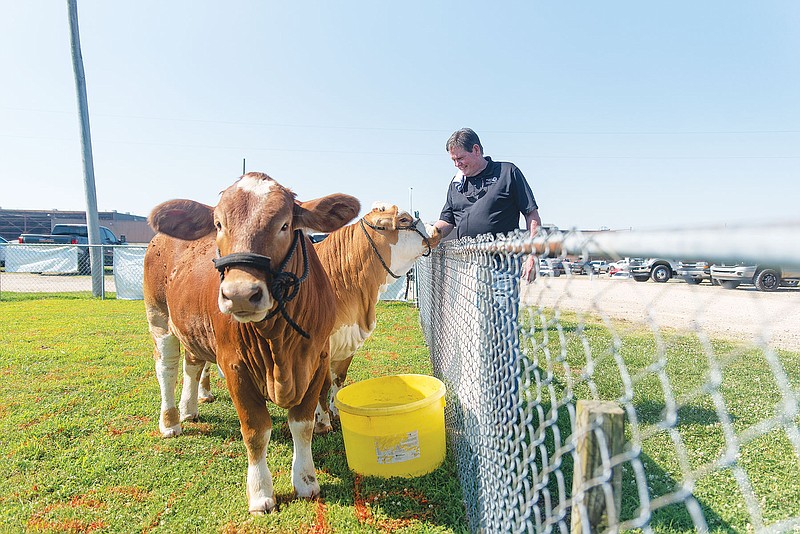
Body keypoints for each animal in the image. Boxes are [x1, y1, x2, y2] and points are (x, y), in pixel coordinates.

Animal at [143, 172, 359, 514]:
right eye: (218, 224)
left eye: (284, 225)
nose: (241, 294)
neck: (278, 345)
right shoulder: (235, 366)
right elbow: (256, 429)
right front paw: (260, 492)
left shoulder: (317, 359)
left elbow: (302, 424)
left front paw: (306, 480)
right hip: (158, 317)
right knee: (167, 367)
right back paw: (170, 421)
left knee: (192, 365)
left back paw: (189, 408)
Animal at [312, 202, 441, 432]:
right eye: (404, 220)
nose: (437, 229)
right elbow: (323, 385)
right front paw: (323, 423)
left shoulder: (349, 337)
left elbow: (339, 379)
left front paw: (337, 412)